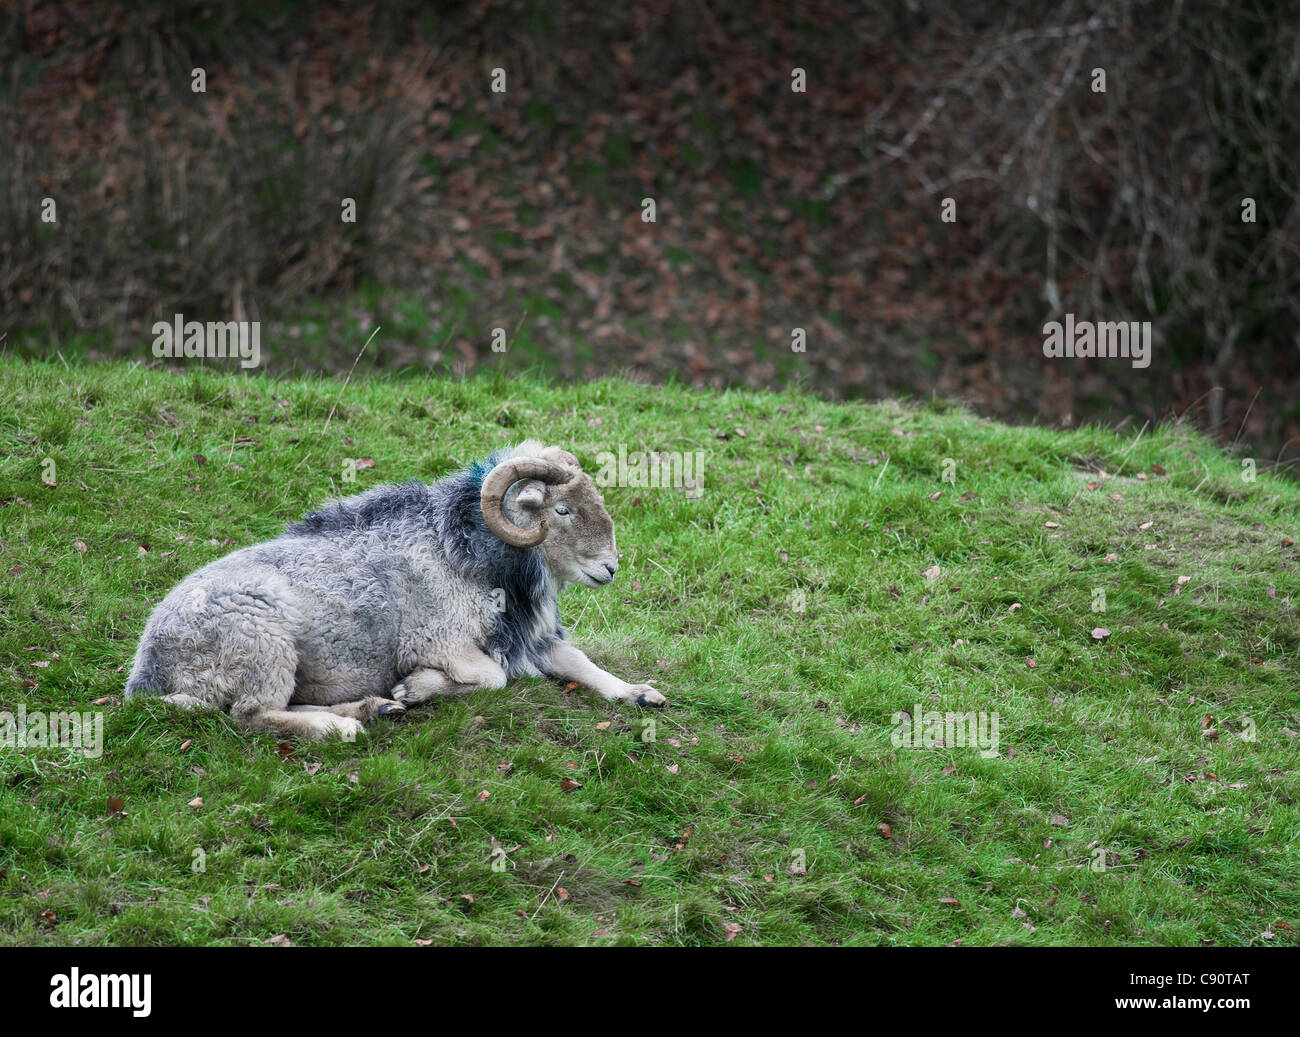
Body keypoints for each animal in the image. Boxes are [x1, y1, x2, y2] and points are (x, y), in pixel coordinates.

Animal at [124, 440, 666, 740]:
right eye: (562, 510)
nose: (611, 569)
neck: (460, 551)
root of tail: (148, 670)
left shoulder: (529, 639)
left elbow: (582, 663)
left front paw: (638, 693)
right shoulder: (440, 642)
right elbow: (493, 678)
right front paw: (417, 687)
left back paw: (372, 708)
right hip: (262, 646)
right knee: (252, 715)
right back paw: (342, 725)